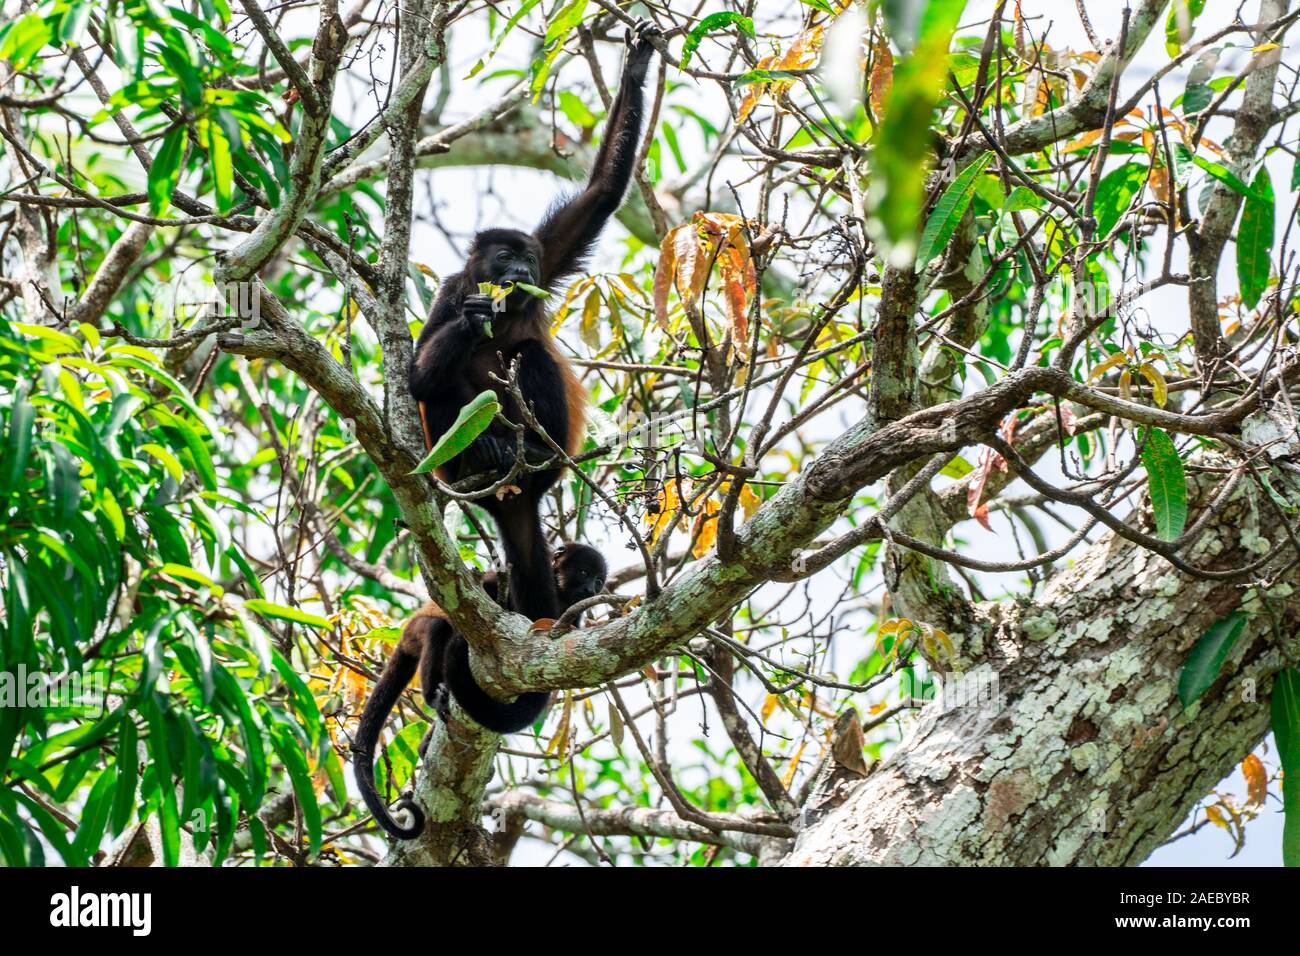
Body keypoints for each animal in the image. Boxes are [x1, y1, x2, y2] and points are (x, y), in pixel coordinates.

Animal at [352, 543, 608, 840]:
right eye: (583, 572)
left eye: (598, 581)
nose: (590, 589)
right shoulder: (501, 583)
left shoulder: (573, 616)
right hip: (417, 632)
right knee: (439, 628)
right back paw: (433, 695)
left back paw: (426, 743)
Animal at [409, 20, 659, 624]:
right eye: (503, 258)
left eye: (526, 259)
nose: (521, 271)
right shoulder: (450, 291)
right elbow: (417, 377)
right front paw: (473, 322)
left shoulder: (550, 254)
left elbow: (601, 194)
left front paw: (636, 67)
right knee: (445, 392)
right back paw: (483, 455)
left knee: (532, 355)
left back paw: (534, 452)